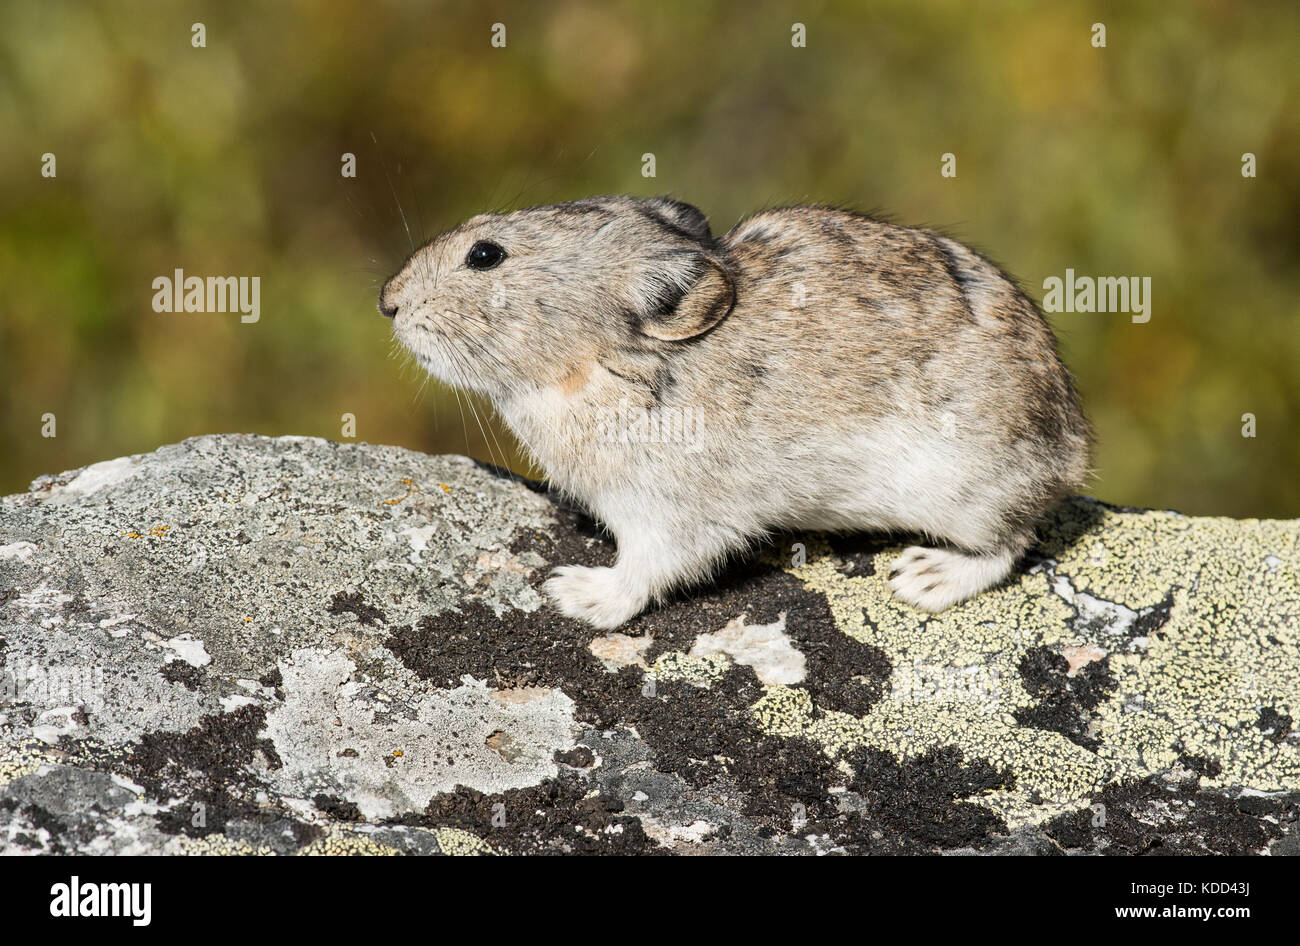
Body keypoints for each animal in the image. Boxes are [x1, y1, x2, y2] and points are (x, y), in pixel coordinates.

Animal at [378, 195, 1091, 629]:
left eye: (485, 254)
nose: (387, 300)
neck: (605, 363)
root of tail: (1072, 446)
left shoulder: (672, 511)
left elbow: (645, 569)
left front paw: (574, 593)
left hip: (967, 488)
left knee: (1009, 546)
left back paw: (924, 576)